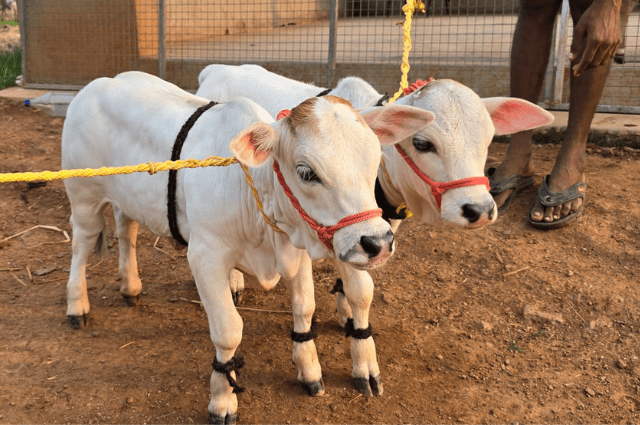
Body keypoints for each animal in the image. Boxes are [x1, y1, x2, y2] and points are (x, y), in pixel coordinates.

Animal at [61, 71, 434, 423]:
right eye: (306, 172)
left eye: (374, 158)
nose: (377, 242)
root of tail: (96, 85)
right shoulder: (205, 257)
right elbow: (228, 332)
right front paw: (223, 400)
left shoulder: (296, 251)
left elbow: (304, 309)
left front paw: (309, 371)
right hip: (83, 197)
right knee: (81, 246)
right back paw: (77, 305)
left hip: (127, 199)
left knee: (127, 230)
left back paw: (131, 286)